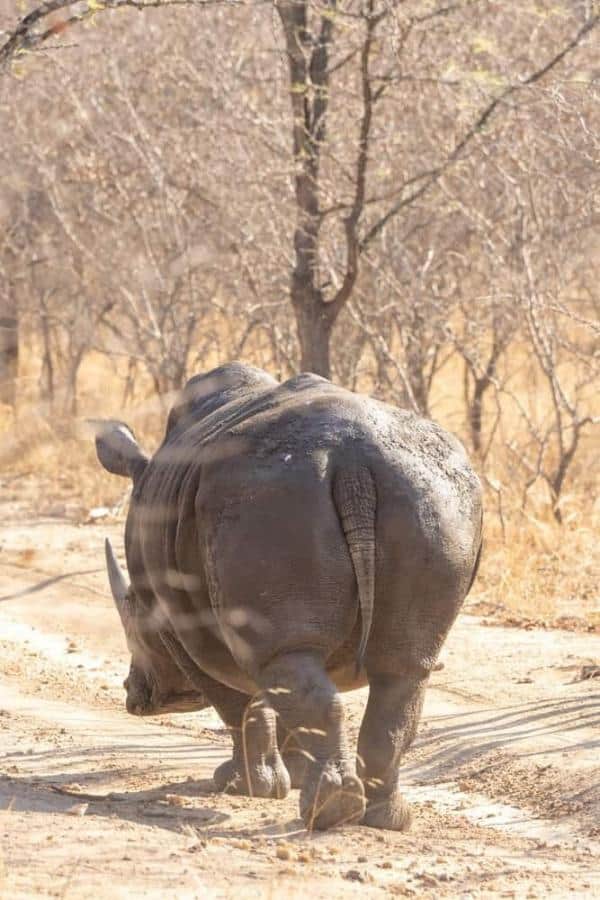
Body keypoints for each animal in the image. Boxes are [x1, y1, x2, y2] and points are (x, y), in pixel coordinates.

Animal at [95, 362, 482, 831]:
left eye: (131, 610)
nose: (135, 696)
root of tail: (355, 461)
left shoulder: (184, 627)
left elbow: (239, 703)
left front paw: (245, 786)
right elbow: (277, 697)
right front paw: (289, 778)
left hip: (268, 499)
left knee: (288, 664)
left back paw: (329, 812)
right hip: (432, 498)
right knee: (402, 668)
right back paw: (380, 817)